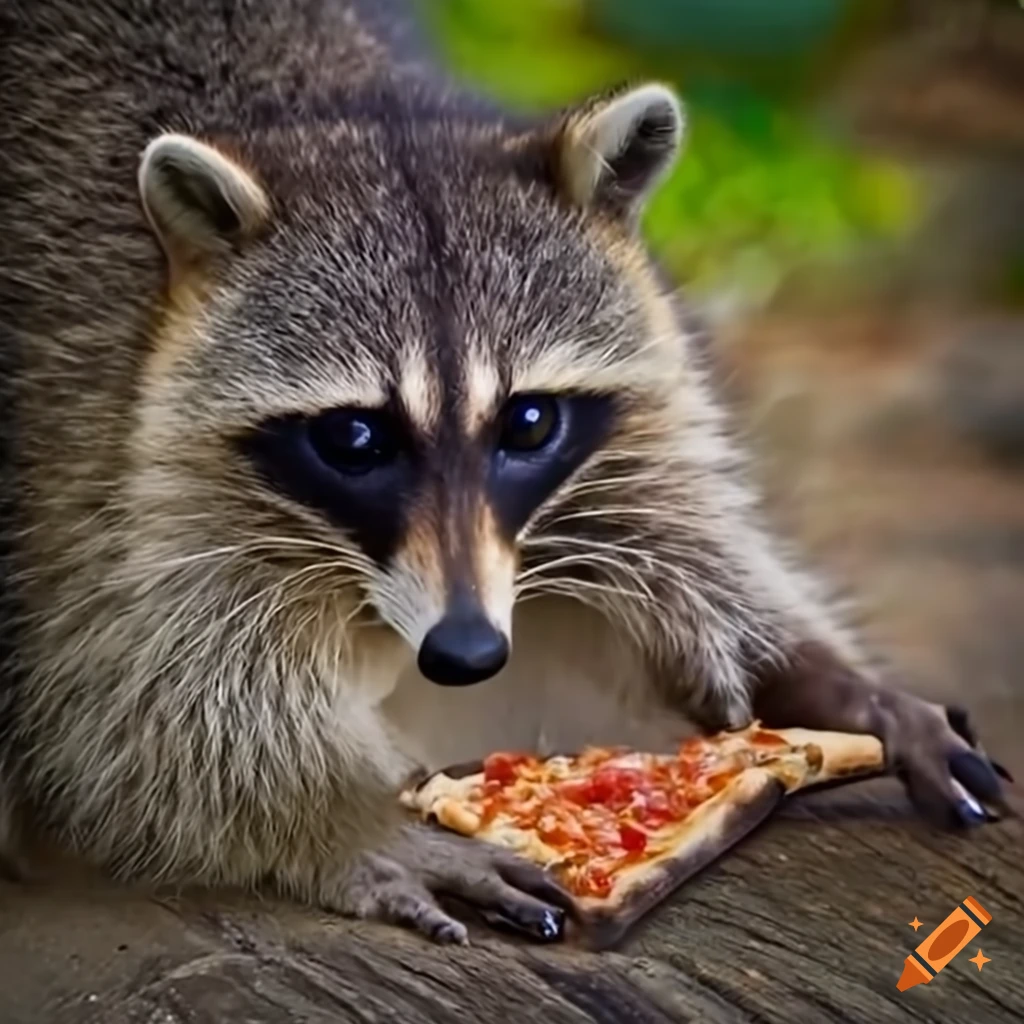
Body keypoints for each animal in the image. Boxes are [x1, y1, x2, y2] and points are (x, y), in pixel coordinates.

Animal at [0, 0, 1005, 941]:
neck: (338, 108)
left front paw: (814, 676)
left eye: (528, 422)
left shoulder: (628, 400)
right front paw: (345, 822)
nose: (468, 654)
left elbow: (671, 526)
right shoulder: (96, 458)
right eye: (355, 439)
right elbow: (132, 719)